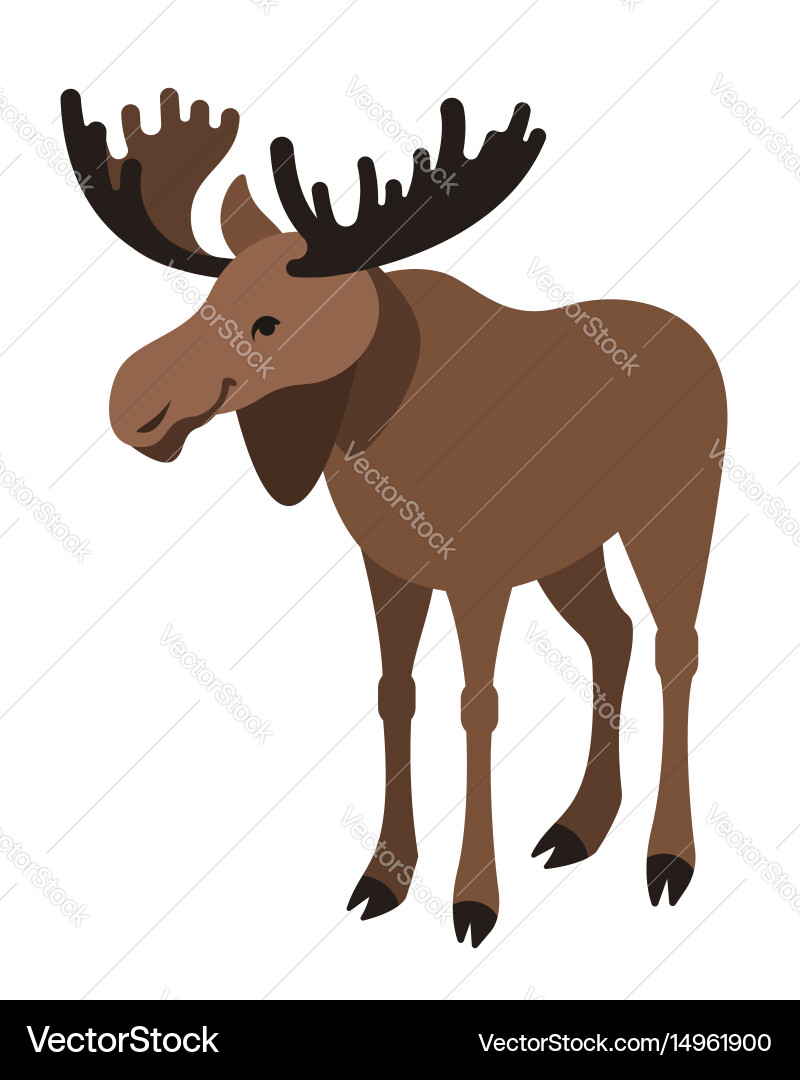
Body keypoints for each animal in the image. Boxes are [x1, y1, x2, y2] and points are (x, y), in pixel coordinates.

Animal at [62, 88, 726, 948]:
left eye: (271, 322)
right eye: (210, 299)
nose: (132, 404)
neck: (365, 429)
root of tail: (705, 350)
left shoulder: (480, 574)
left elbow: (478, 708)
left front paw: (475, 899)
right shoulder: (389, 566)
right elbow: (394, 694)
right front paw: (385, 875)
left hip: (674, 513)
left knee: (677, 648)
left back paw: (668, 857)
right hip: (570, 547)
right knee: (613, 633)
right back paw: (581, 825)